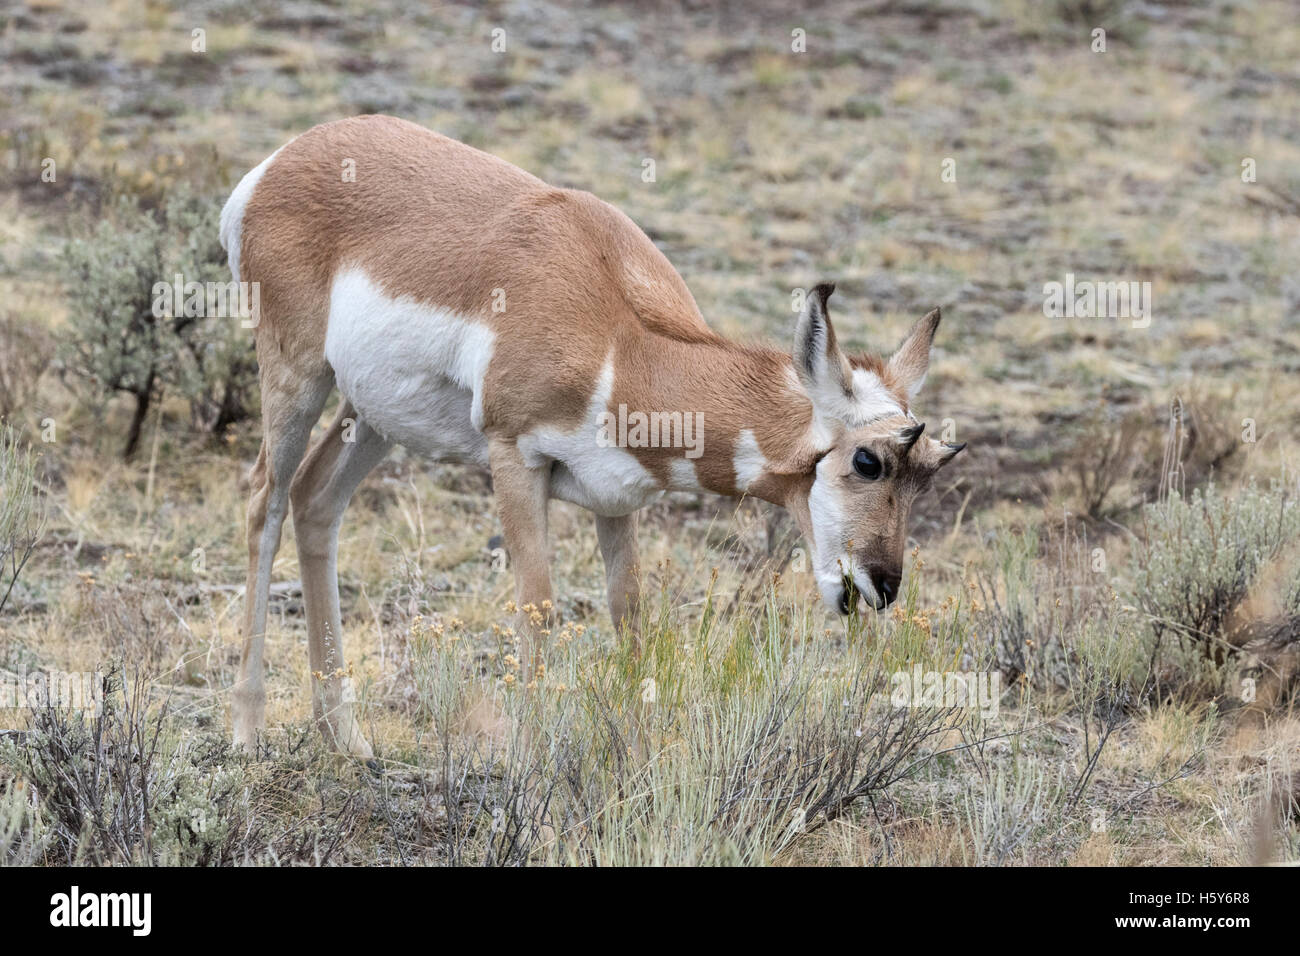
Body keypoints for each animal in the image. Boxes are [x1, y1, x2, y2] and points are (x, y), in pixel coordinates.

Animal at [220, 115, 965, 758]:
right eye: (867, 460)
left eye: (929, 467)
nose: (884, 586)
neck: (620, 333)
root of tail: (281, 160)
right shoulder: (514, 458)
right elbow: (537, 609)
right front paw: (529, 765)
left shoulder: (618, 500)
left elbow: (628, 615)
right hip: (297, 376)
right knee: (264, 501)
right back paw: (248, 734)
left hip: (372, 415)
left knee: (317, 502)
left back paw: (346, 739)